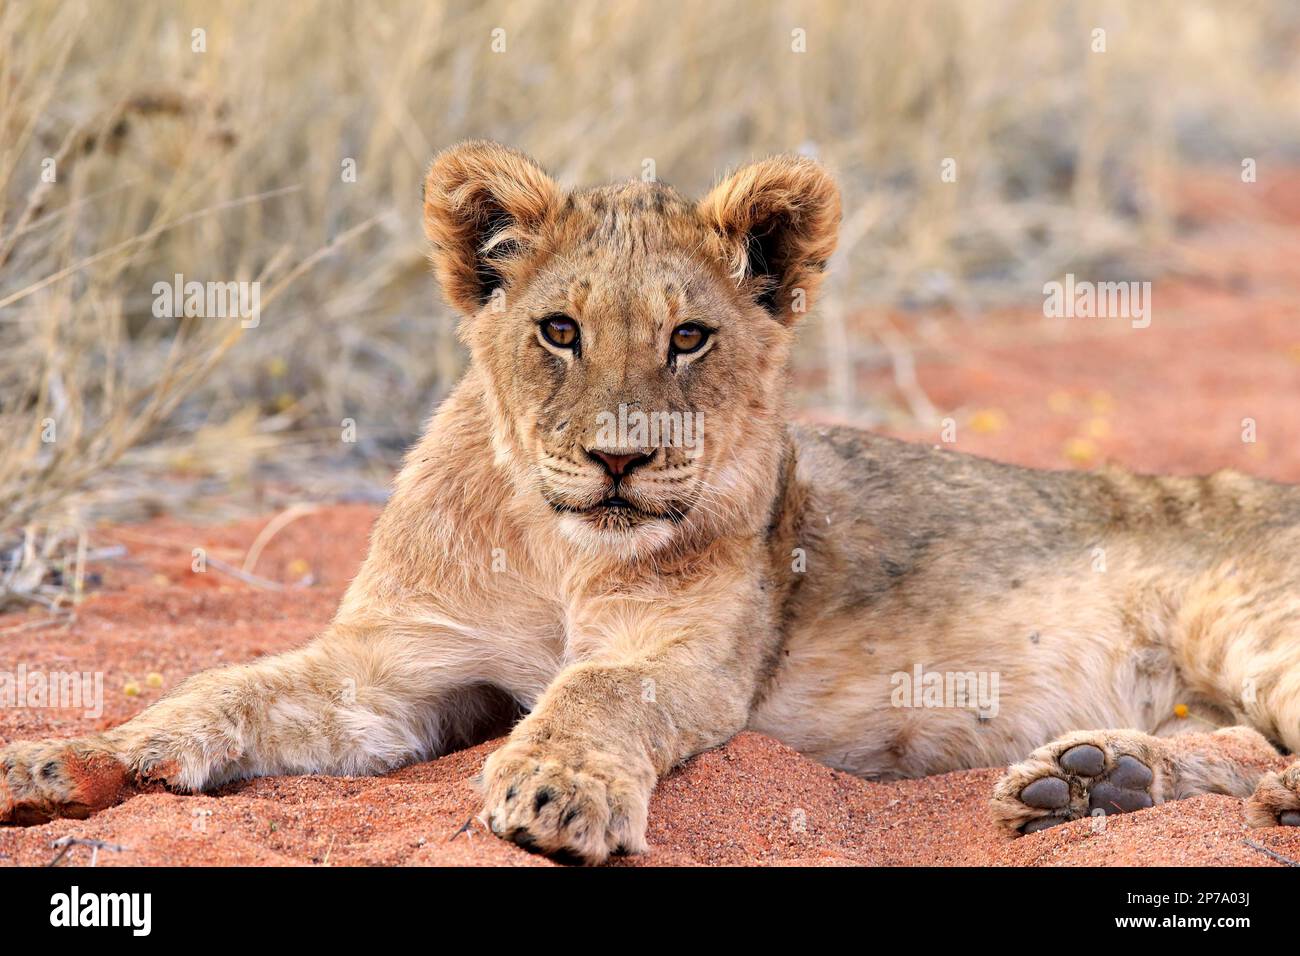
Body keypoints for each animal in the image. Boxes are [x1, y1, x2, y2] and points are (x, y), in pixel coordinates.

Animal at [2, 141, 1298, 862]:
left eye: (688, 337)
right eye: (558, 330)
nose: (620, 461)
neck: (553, 547)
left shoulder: (680, 658)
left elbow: (591, 694)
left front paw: (553, 795)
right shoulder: (397, 666)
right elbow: (226, 689)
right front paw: (64, 761)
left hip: (1252, 624)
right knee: (1235, 740)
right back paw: (1088, 781)